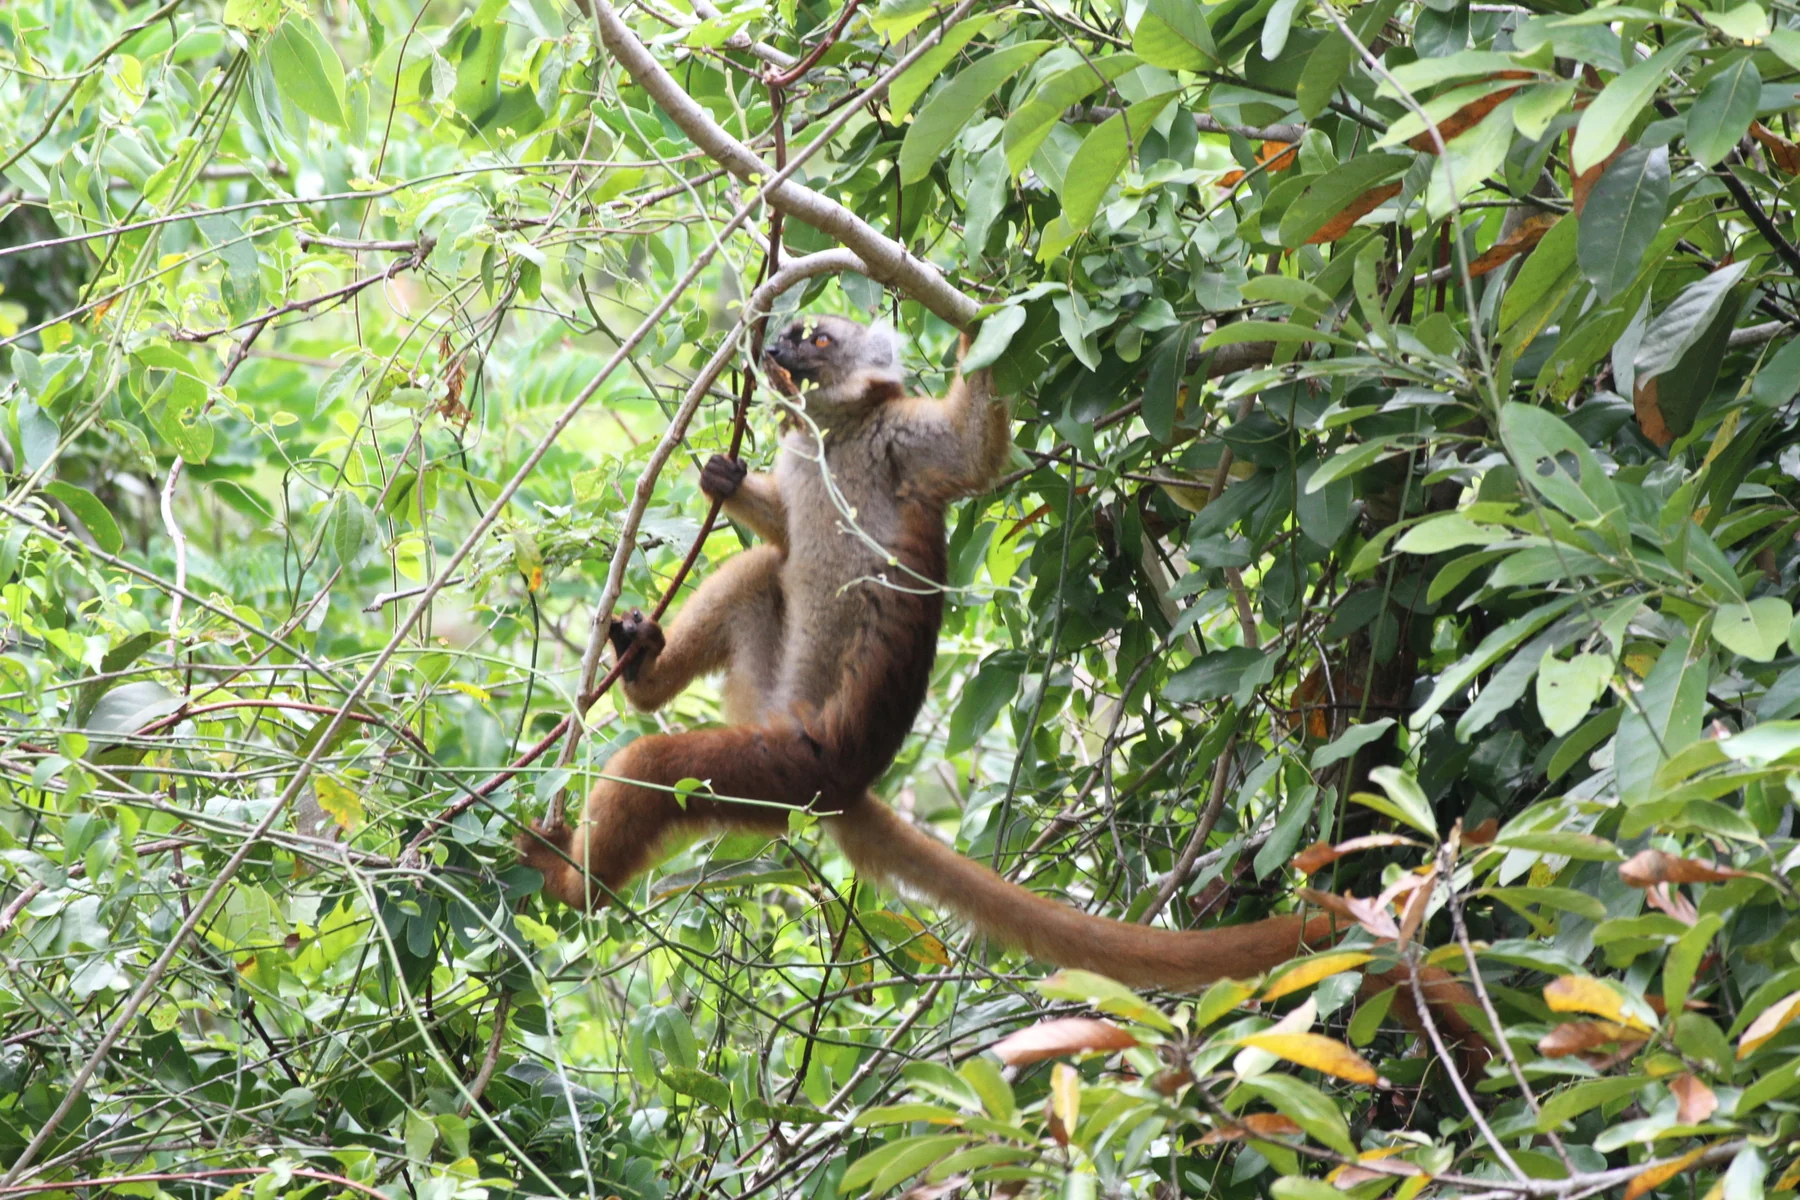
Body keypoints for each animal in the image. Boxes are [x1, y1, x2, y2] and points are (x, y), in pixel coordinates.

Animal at [518, 313, 1486, 1072]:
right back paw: (644, 675)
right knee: (763, 577)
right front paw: (724, 477)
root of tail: (847, 780)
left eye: (818, 337)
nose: (780, 343)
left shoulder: (902, 442)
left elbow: (974, 453)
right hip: (767, 708)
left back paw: (573, 880)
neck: (837, 436)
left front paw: (987, 320)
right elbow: (788, 534)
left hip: (776, 767)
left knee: (662, 764)